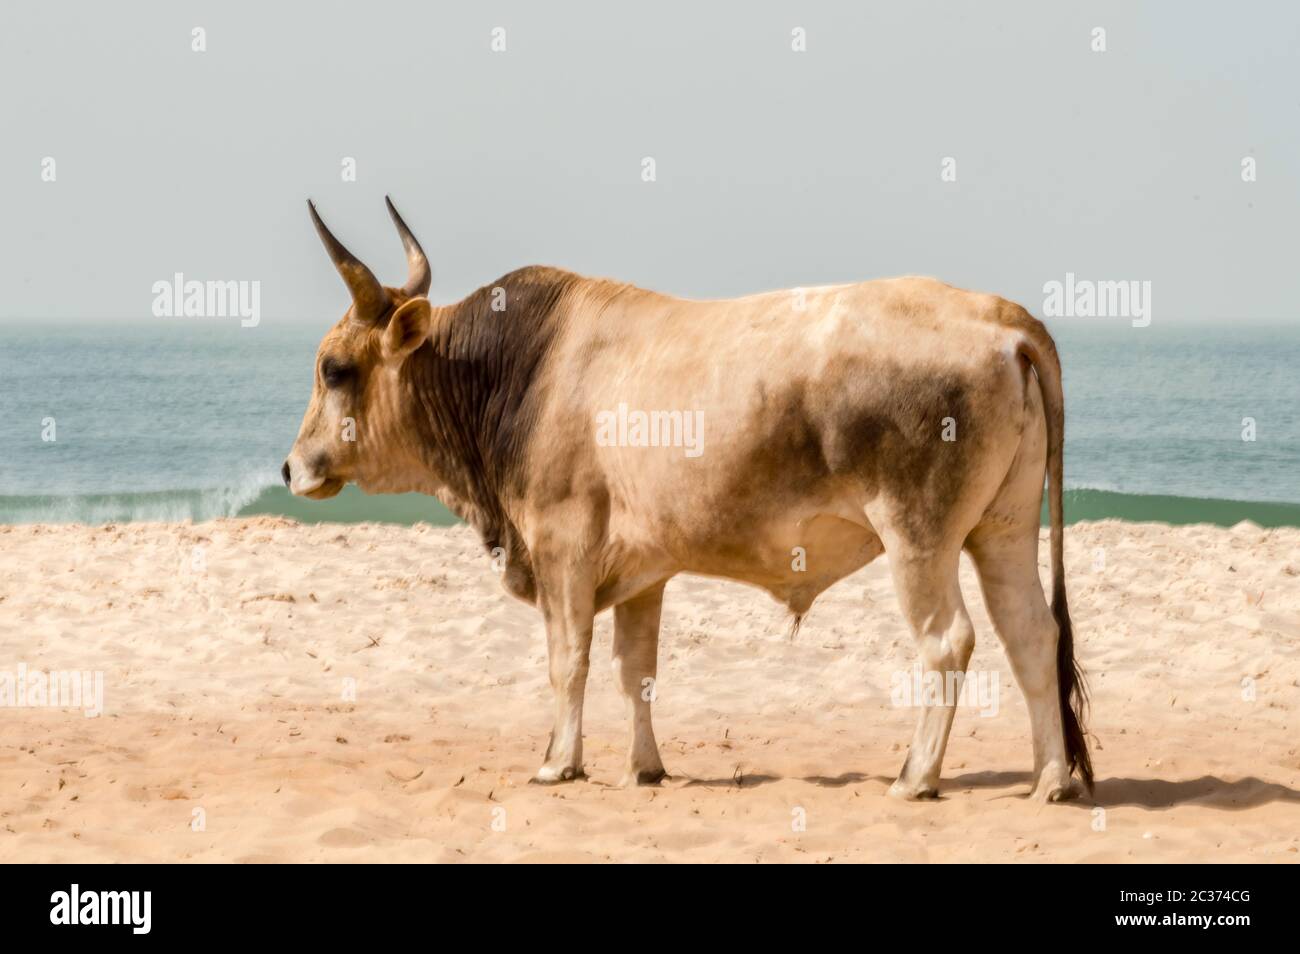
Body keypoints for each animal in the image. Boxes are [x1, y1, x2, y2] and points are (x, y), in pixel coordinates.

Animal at [283, 198, 1093, 801]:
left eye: (334, 368)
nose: (291, 469)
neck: (520, 367)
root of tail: (1001, 317)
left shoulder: (562, 547)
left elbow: (567, 659)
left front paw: (558, 762)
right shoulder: (643, 569)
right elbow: (633, 669)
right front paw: (644, 768)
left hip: (917, 535)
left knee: (947, 641)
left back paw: (916, 777)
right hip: (1002, 530)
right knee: (1031, 634)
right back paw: (1050, 778)